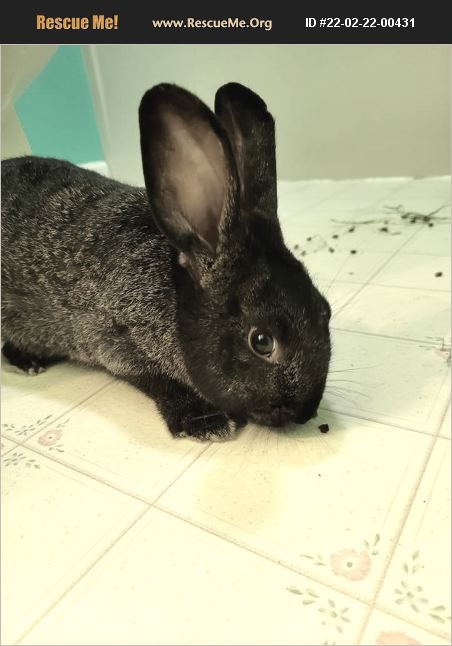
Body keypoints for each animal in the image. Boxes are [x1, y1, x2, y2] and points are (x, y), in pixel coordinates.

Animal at [1, 82, 331, 441]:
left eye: (325, 310)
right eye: (261, 341)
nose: (305, 412)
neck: (173, 297)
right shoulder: (114, 340)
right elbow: (159, 382)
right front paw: (206, 422)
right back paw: (28, 362)